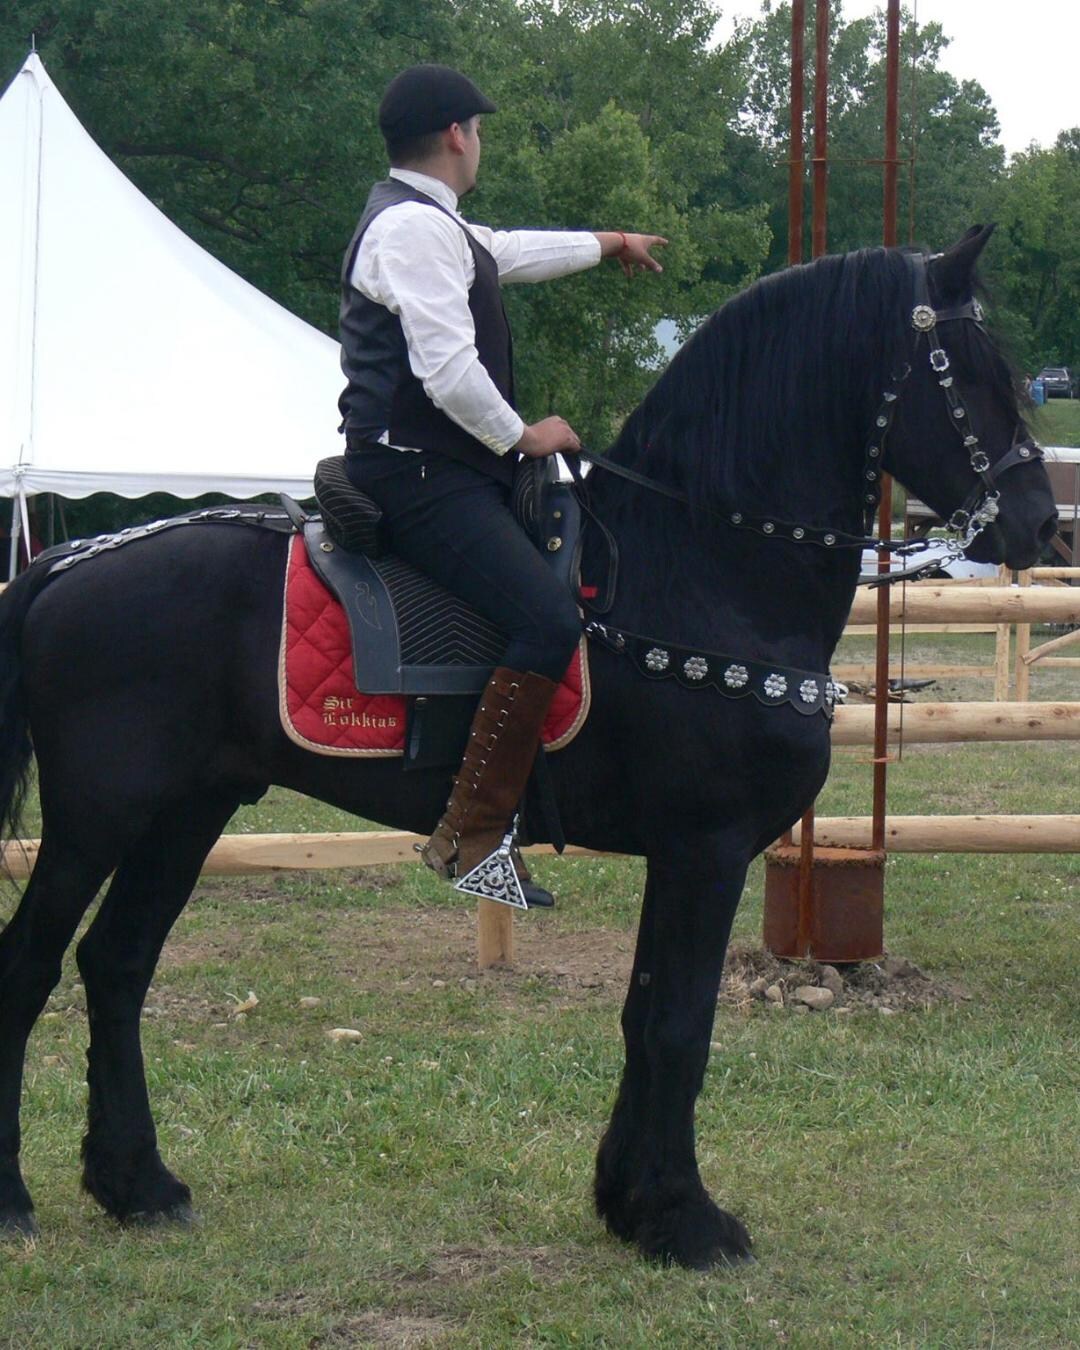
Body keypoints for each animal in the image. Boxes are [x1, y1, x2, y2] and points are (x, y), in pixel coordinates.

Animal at [0, 226, 1057, 1267]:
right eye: (967, 368)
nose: (1041, 522)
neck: (695, 569)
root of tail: (66, 564)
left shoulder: (677, 857)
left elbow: (644, 1014)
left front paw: (629, 1202)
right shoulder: (706, 851)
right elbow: (680, 1025)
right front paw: (686, 1220)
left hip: (188, 812)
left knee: (117, 964)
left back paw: (137, 1184)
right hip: (97, 820)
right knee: (32, 964)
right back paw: (17, 1199)